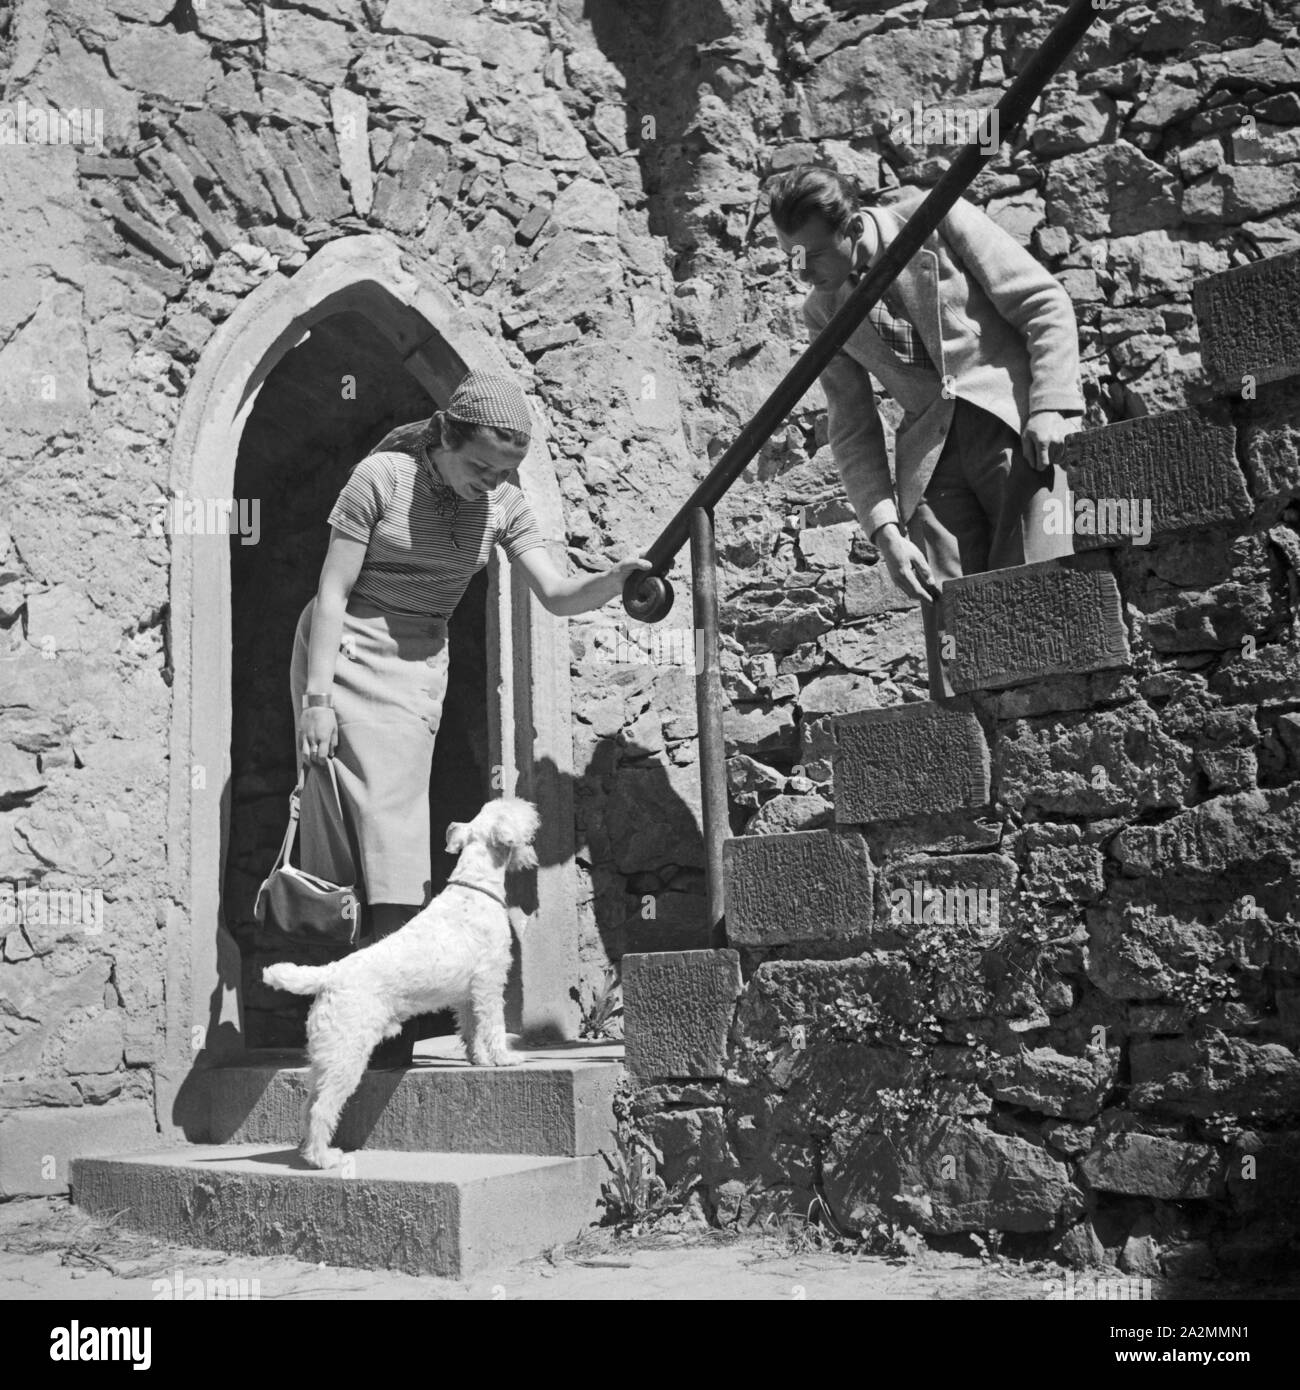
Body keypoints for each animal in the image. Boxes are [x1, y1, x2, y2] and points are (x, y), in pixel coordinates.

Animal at [261, 800, 536, 1167]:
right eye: (510, 808)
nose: (532, 807)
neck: (475, 884)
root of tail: (329, 973)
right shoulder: (490, 981)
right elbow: (492, 1026)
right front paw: (505, 1058)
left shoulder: (467, 994)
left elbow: (470, 1028)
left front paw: (478, 1058)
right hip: (347, 1055)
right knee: (322, 1108)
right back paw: (325, 1158)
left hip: (325, 1055)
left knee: (307, 1105)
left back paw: (310, 1153)